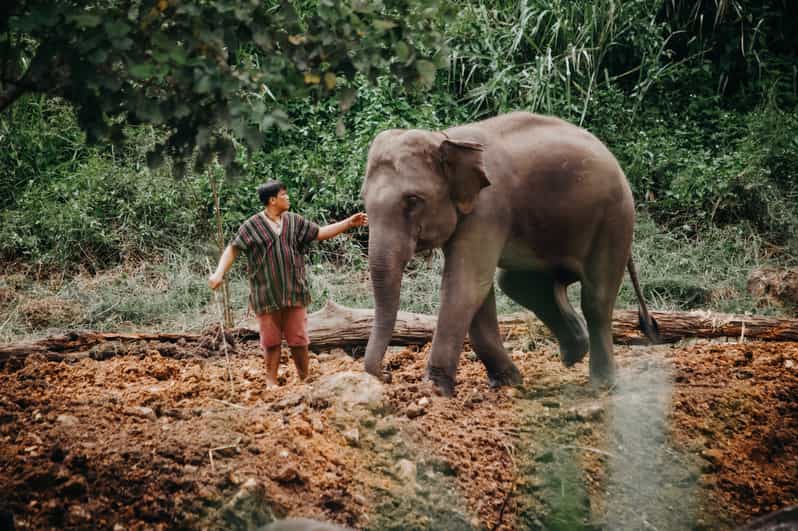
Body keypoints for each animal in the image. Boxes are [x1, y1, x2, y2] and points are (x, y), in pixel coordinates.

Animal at [361, 111, 659, 397]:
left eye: (412, 201)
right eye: (364, 199)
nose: (386, 375)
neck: (446, 138)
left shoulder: (490, 208)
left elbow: (465, 284)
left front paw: (435, 389)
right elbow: (477, 289)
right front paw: (508, 381)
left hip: (614, 218)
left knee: (596, 299)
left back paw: (602, 383)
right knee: (519, 284)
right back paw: (574, 352)